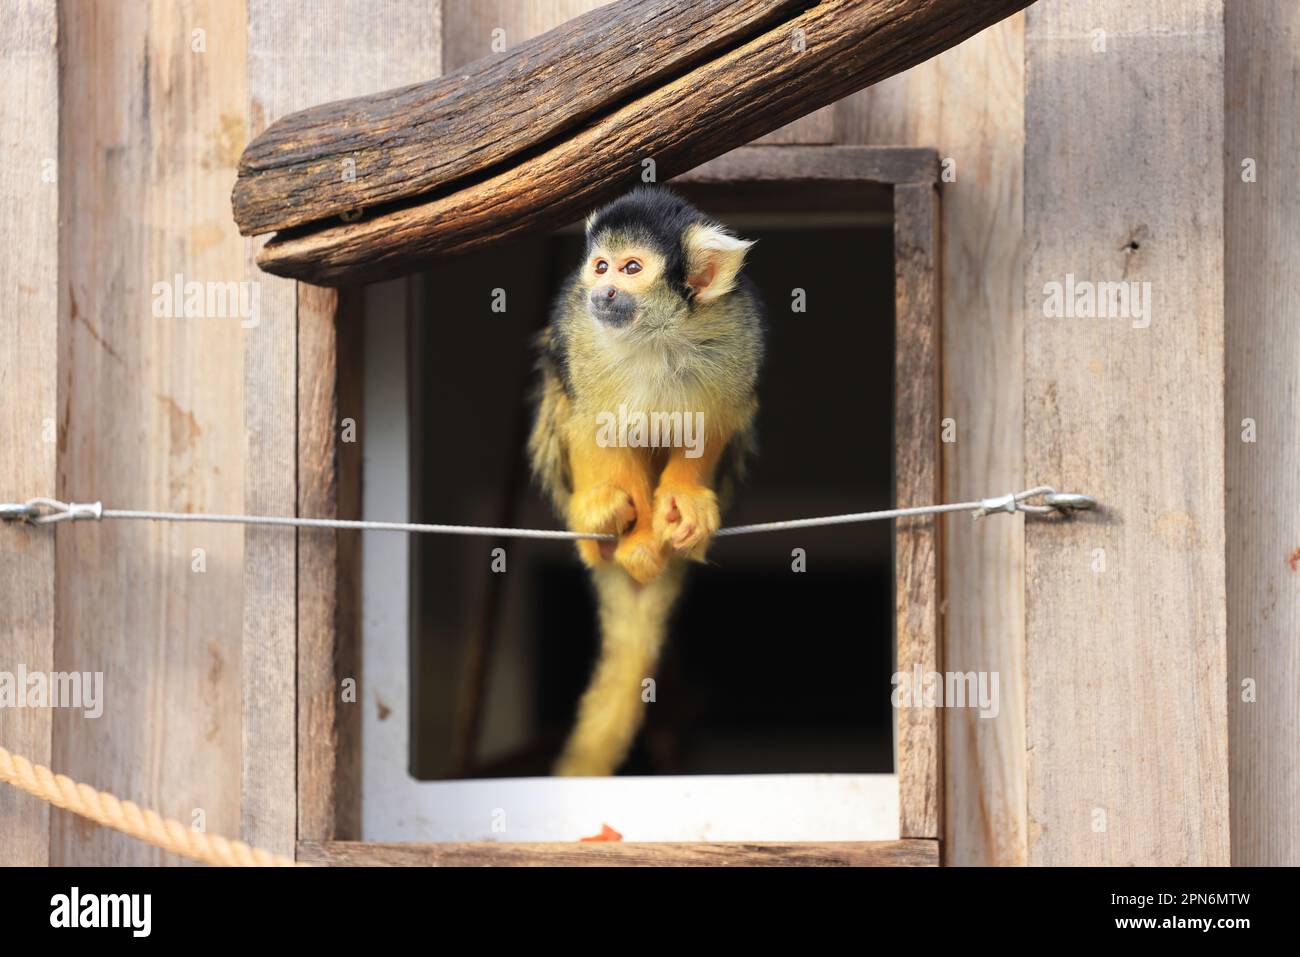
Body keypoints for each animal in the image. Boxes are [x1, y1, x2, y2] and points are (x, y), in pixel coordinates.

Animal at [528, 185, 764, 776]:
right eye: (601, 265)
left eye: (632, 268)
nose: (604, 290)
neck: (657, 334)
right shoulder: (579, 328)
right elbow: (595, 425)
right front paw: (630, 534)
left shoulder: (738, 333)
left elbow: (714, 423)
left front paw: (684, 502)